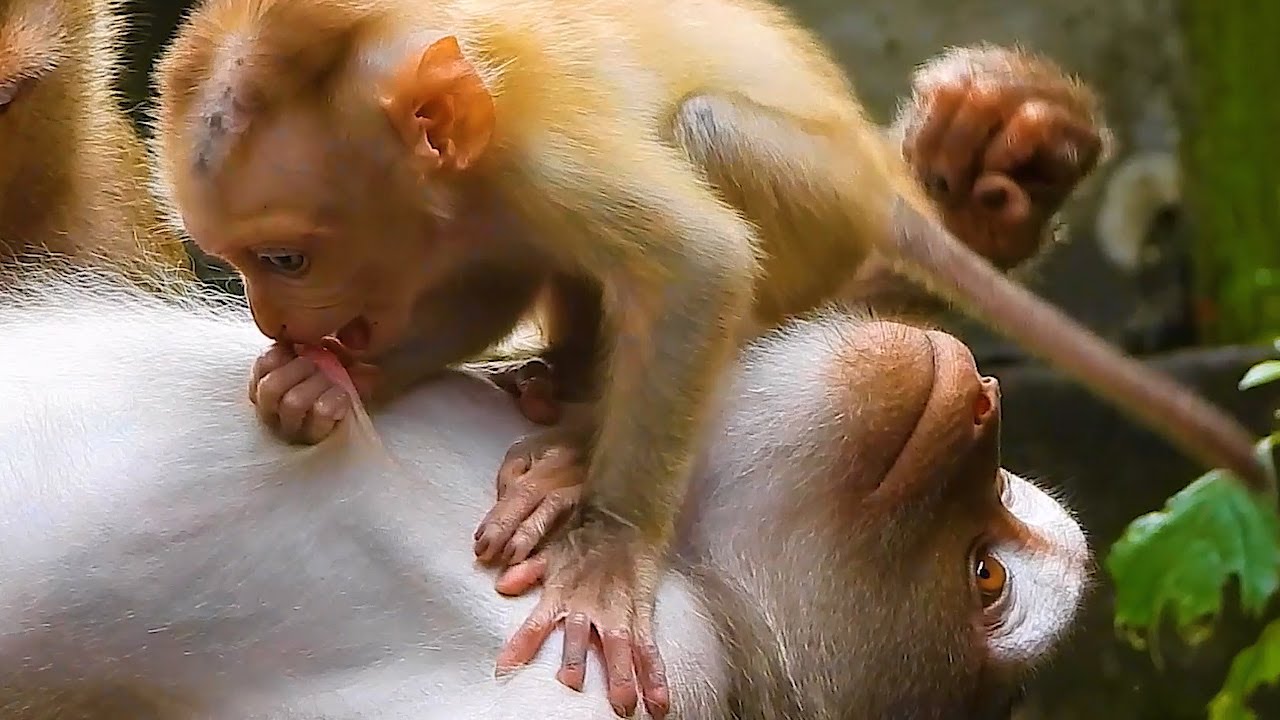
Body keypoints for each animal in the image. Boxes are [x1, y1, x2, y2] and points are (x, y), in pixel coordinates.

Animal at [147, 1, 1266, 712]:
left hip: (817, 207)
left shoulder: (533, 157)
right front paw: (337, 377)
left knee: (708, 139)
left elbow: (694, 267)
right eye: (235, 259)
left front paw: (607, 553)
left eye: (285, 257)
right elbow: (490, 282)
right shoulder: (465, 209)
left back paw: (577, 435)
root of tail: (884, 182)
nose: (270, 317)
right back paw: (562, 378)